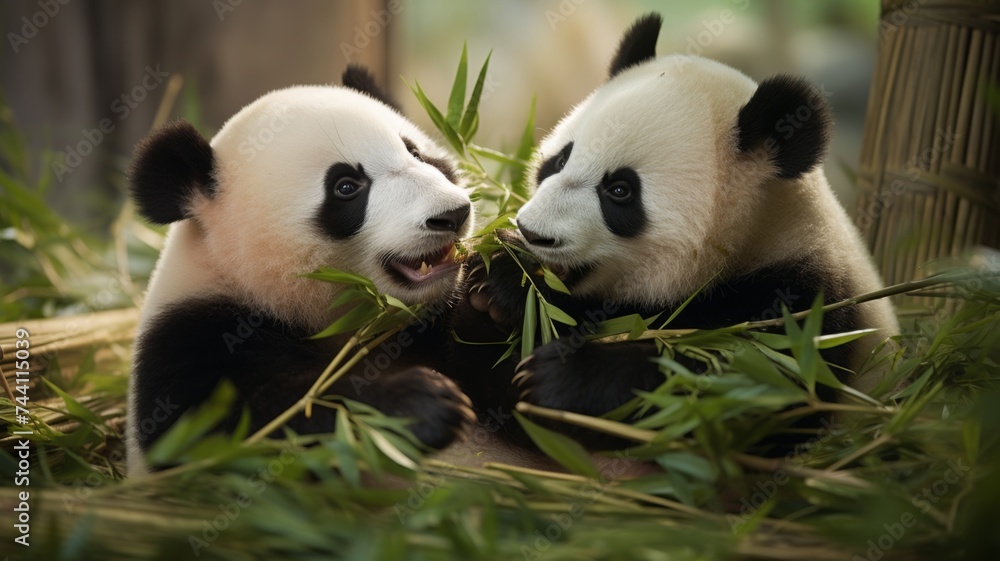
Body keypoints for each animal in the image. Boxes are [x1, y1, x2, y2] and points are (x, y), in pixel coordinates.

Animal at [125, 66, 477, 476]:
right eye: (346, 187)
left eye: (417, 152)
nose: (452, 214)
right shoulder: (192, 342)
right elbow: (253, 430)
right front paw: (416, 405)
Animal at [449, 13, 899, 451]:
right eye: (559, 161)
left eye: (620, 191)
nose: (532, 232)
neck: (760, 238)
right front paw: (502, 276)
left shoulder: (805, 309)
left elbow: (746, 391)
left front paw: (560, 374)